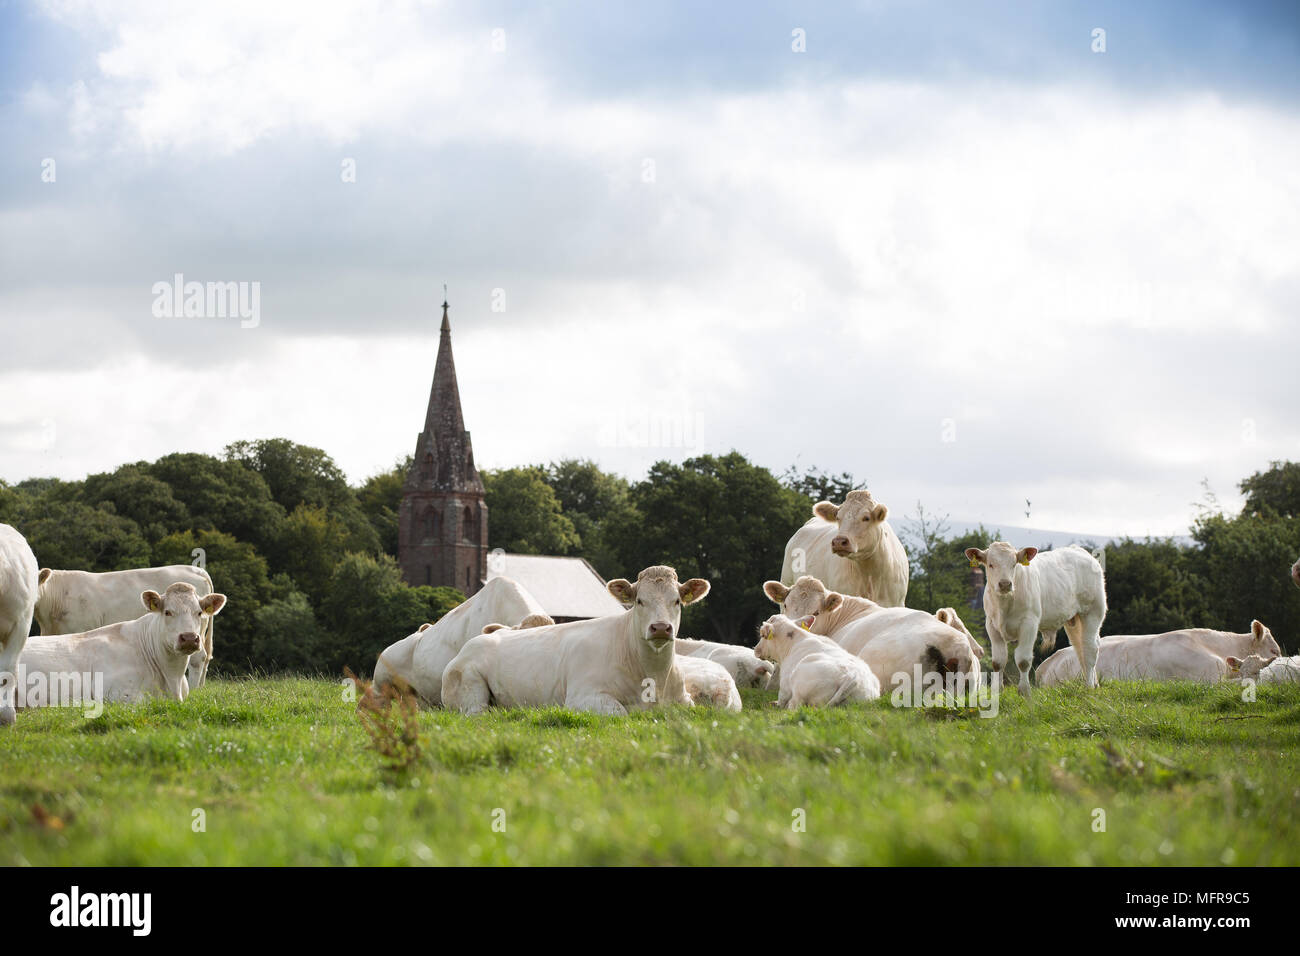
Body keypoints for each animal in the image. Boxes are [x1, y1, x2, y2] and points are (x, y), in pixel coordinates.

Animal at [441, 565, 710, 716]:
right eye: (639, 601)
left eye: (677, 600)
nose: (661, 627)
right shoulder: (583, 698)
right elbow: (620, 712)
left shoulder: (685, 702)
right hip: (469, 688)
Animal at [965, 543, 1106, 696]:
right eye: (991, 564)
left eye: (1014, 564)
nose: (1005, 584)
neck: (1005, 603)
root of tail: (1080, 550)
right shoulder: (992, 626)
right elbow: (998, 661)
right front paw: (997, 691)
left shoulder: (1029, 624)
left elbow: (1023, 660)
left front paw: (1024, 692)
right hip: (1073, 621)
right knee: (1079, 647)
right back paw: (1094, 683)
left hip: (1092, 613)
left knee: (1089, 648)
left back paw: (1089, 686)